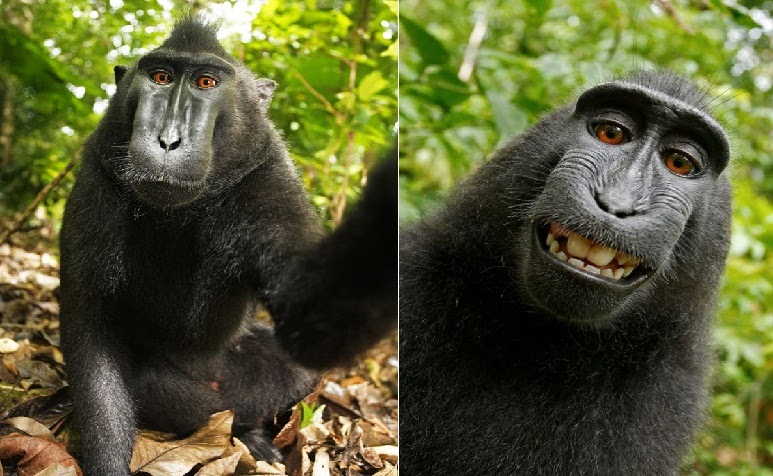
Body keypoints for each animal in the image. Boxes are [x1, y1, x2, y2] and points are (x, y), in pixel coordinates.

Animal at [58, 19, 396, 475]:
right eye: (160, 77)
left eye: (206, 82)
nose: (168, 140)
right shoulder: (97, 181)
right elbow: (91, 334)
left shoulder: (269, 181)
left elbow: (314, 320)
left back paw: (254, 436)